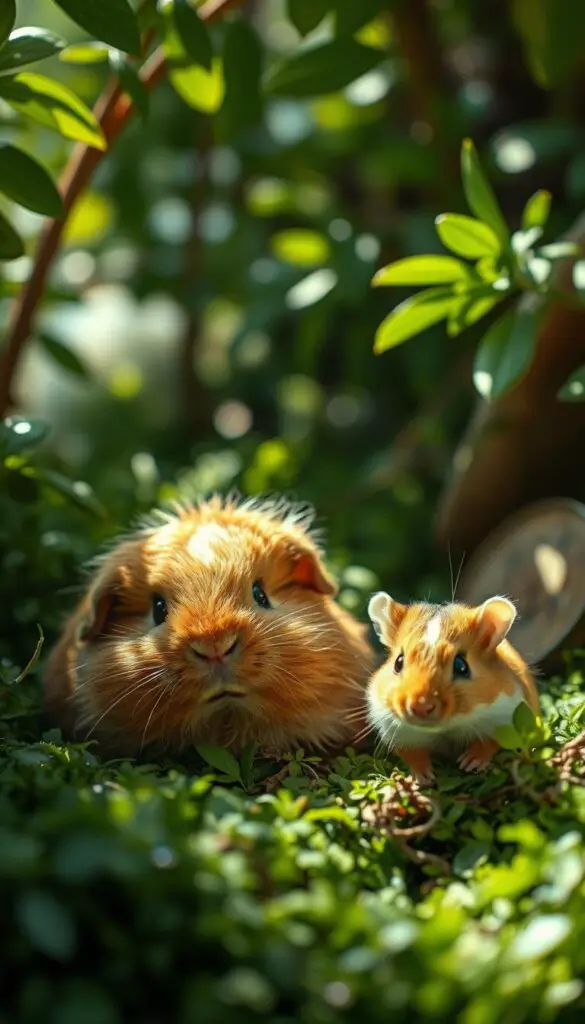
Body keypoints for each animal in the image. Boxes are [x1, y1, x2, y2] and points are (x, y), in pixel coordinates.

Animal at [366, 591, 540, 784]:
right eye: (398, 662)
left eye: (461, 666)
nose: (421, 707)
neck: (447, 727)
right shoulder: (396, 731)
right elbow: (413, 754)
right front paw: (423, 778)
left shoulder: (505, 716)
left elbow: (489, 742)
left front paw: (469, 763)